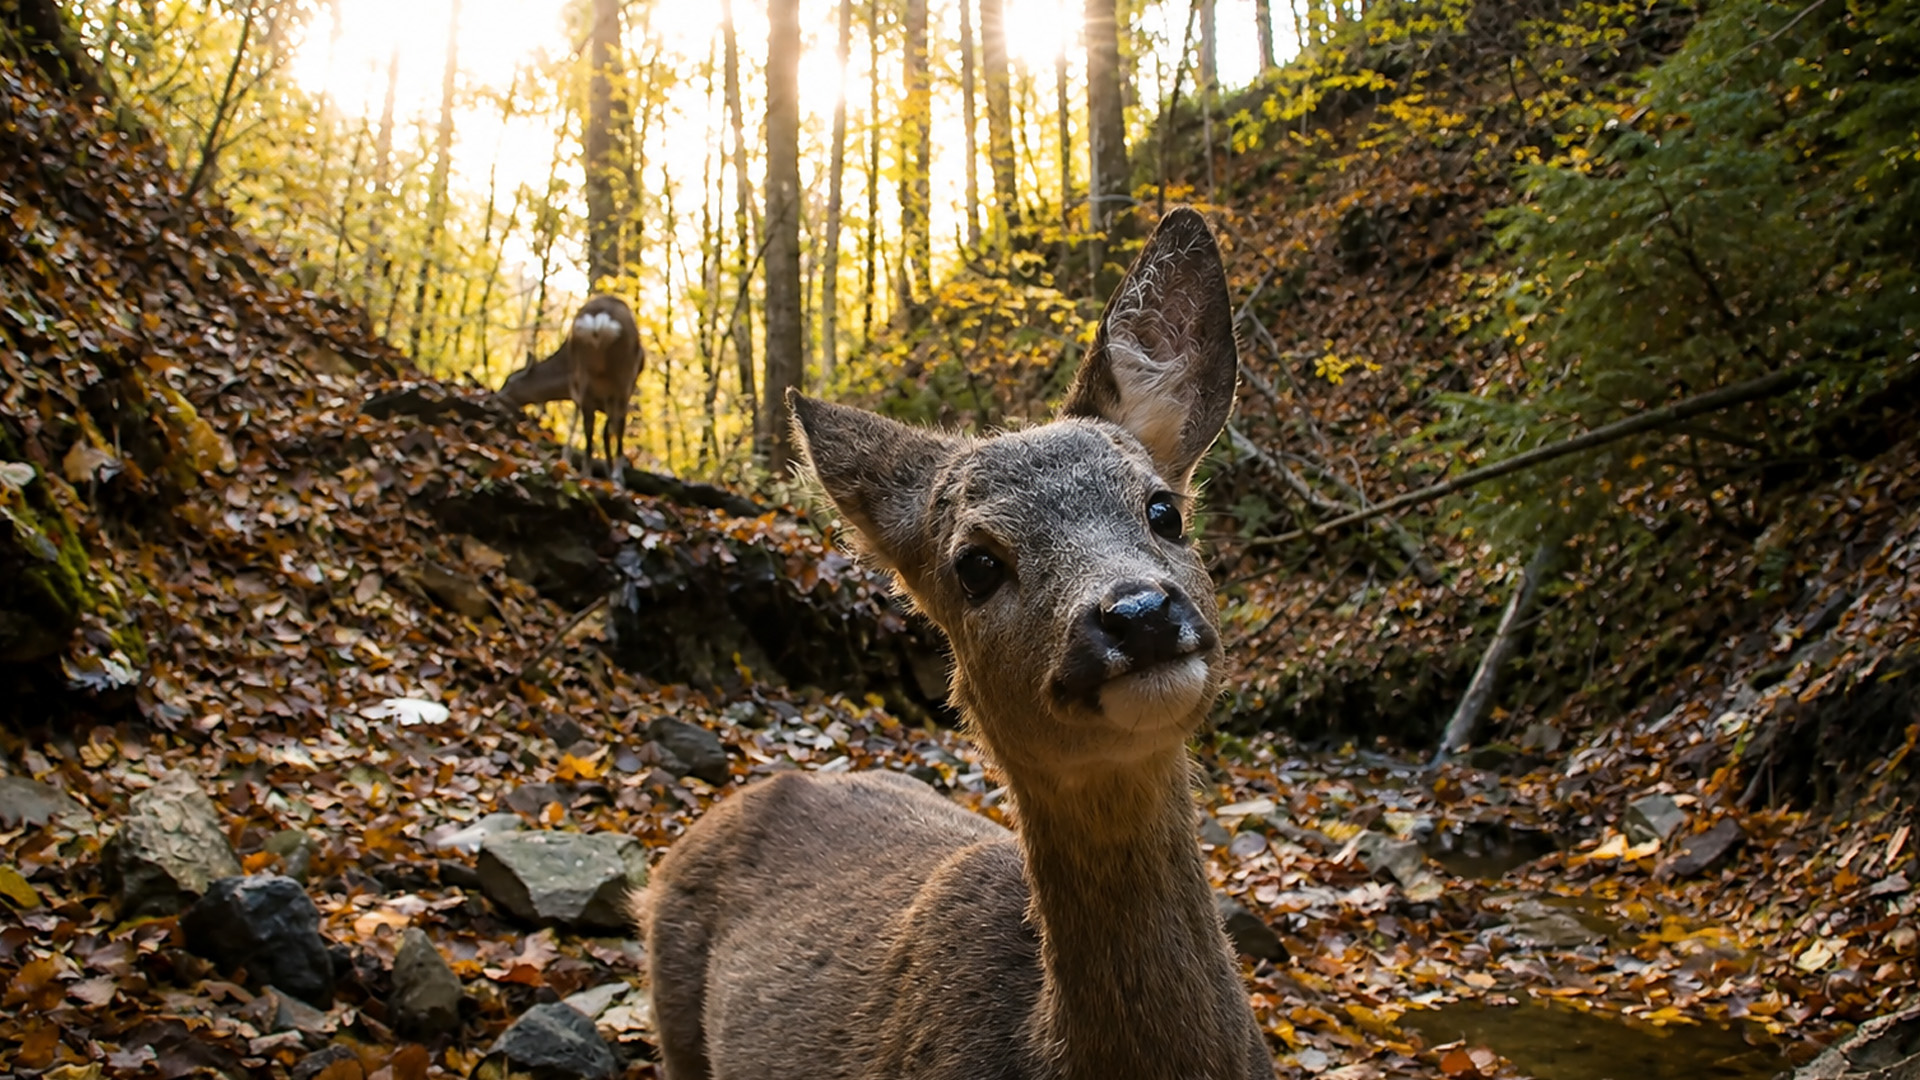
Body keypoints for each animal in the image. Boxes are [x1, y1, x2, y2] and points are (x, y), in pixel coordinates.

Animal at [494, 295, 643, 486]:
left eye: (508, 380)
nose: (496, 395)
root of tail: (598, 320)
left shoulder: (579, 389)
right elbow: (607, 430)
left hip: (589, 373)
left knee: (592, 423)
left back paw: (589, 473)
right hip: (622, 376)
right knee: (613, 424)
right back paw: (609, 475)